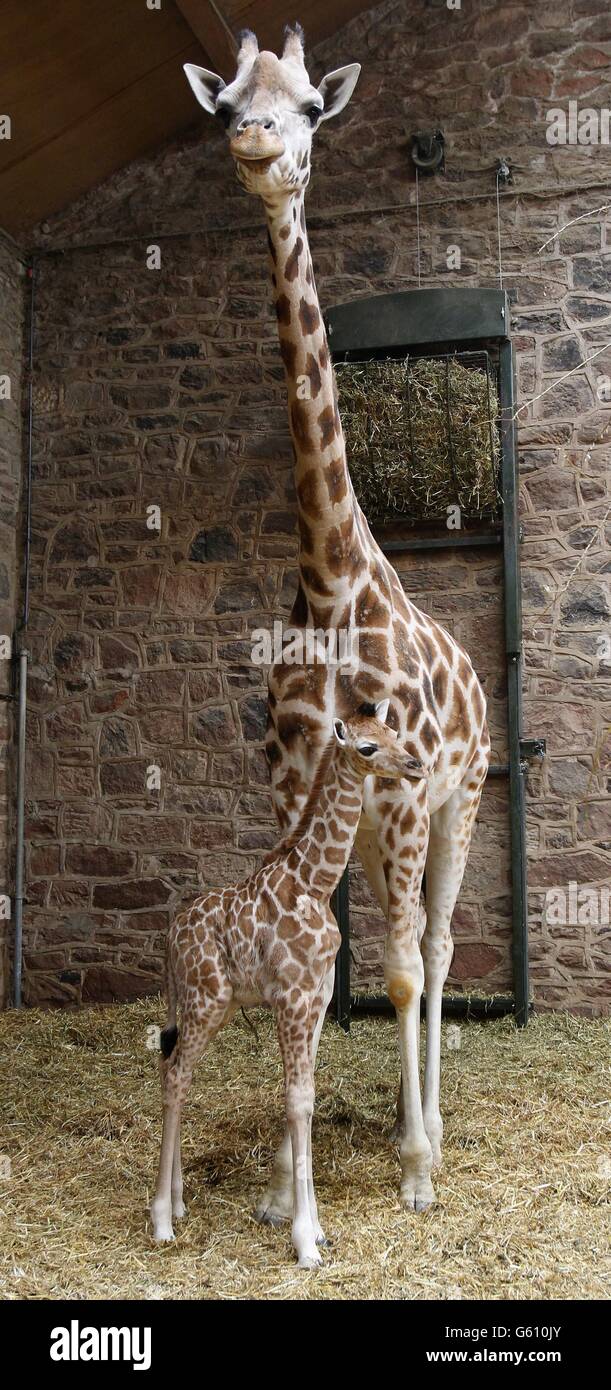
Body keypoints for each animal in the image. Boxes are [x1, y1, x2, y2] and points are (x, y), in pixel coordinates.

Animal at [151, 704, 426, 1267]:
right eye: (367, 747)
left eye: (393, 730)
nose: (414, 765)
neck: (313, 883)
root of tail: (170, 937)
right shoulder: (293, 998)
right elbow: (297, 1101)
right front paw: (302, 1240)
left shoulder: (317, 998)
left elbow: (308, 1098)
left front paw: (317, 1230)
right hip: (204, 1001)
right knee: (176, 1075)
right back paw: (161, 1220)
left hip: (212, 1005)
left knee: (175, 1073)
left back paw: (180, 1202)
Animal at [184, 24, 490, 1218]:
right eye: (229, 104)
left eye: (312, 103)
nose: (262, 147)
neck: (326, 585)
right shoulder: (293, 782)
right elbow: (306, 965)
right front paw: (281, 1188)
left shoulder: (404, 789)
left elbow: (402, 970)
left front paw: (414, 1168)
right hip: (372, 829)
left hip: (455, 804)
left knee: (436, 948)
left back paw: (431, 1133)